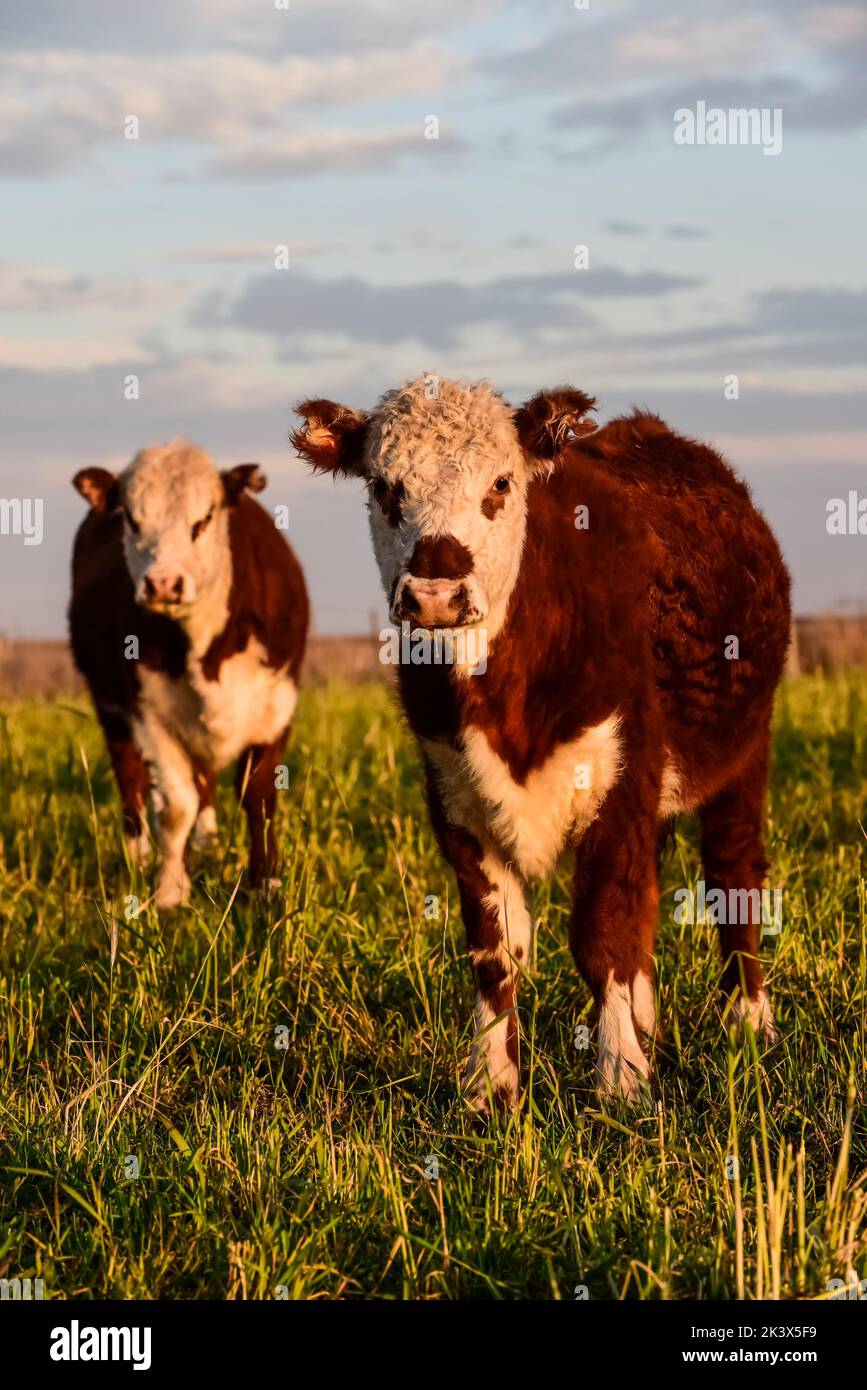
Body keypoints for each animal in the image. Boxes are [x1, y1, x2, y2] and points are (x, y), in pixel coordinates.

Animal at [69, 439, 308, 907]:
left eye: (206, 517)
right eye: (132, 518)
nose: (163, 583)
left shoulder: (277, 703)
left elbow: (259, 796)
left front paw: (266, 885)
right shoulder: (147, 710)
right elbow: (176, 805)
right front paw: (170, 891)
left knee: (205, 780)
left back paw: (207, 840)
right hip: (110, 707)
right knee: (132, 779)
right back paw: (139, 855)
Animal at [291, 377, 791, 1111]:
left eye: (501, 483)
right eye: (384, 487)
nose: (435, 593)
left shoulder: (621, 778)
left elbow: (601, 934)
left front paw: (620, 1080)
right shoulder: (453, 797)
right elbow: (495, 949)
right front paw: (490, 1086)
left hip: (743, 749)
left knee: (734, 875)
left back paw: (748, 1020)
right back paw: (648, 1020)